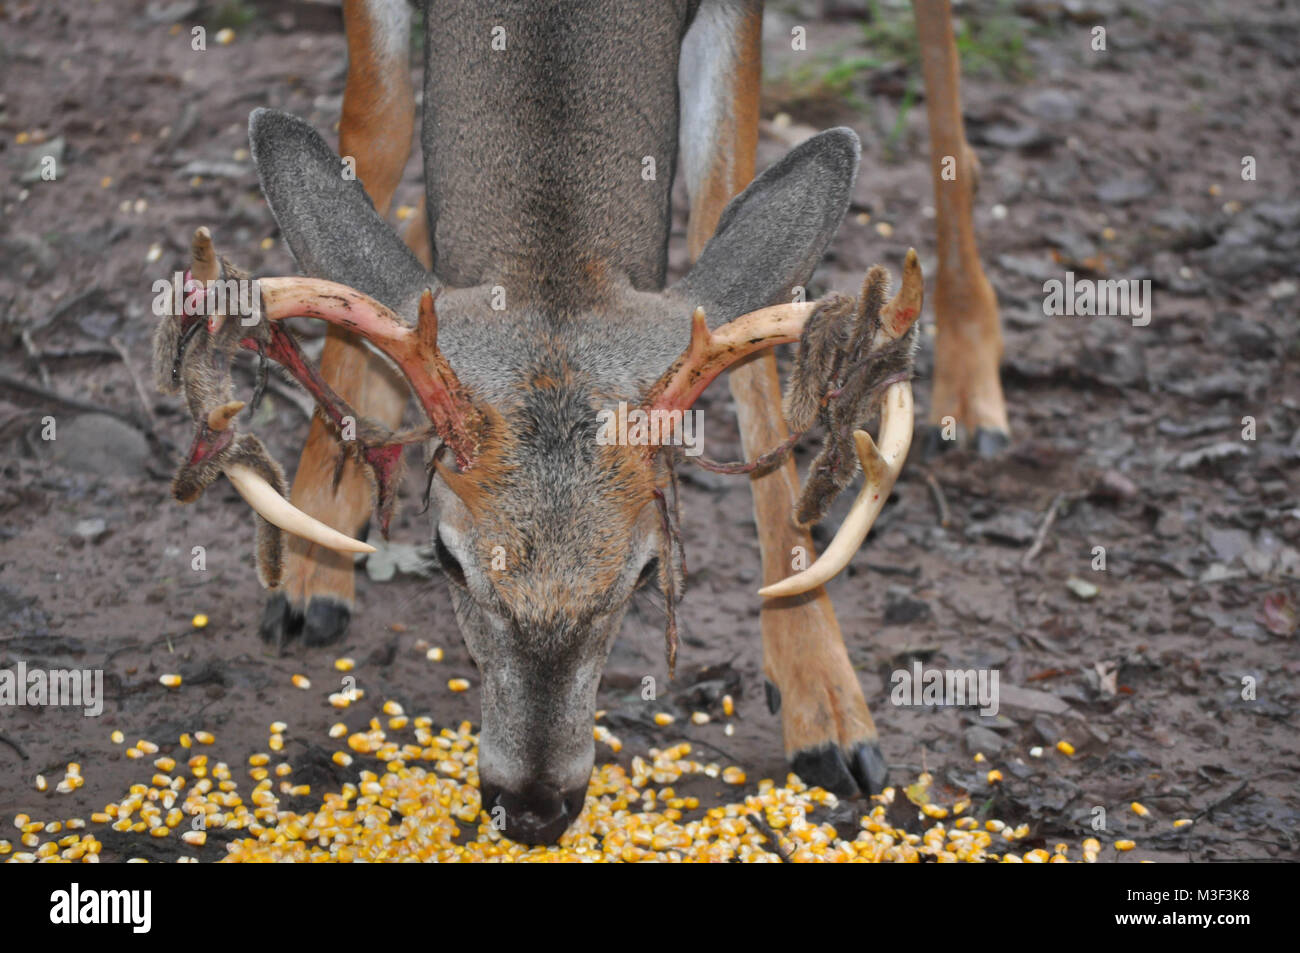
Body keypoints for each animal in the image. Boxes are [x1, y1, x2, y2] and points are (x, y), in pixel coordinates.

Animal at [153, 0, 1005, 845]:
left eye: (649, 571)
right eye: (447, 557)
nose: (533, 807)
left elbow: (722, 229)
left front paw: (823, 703)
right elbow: (378, 131)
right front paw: (311, 556)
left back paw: (974, 386)